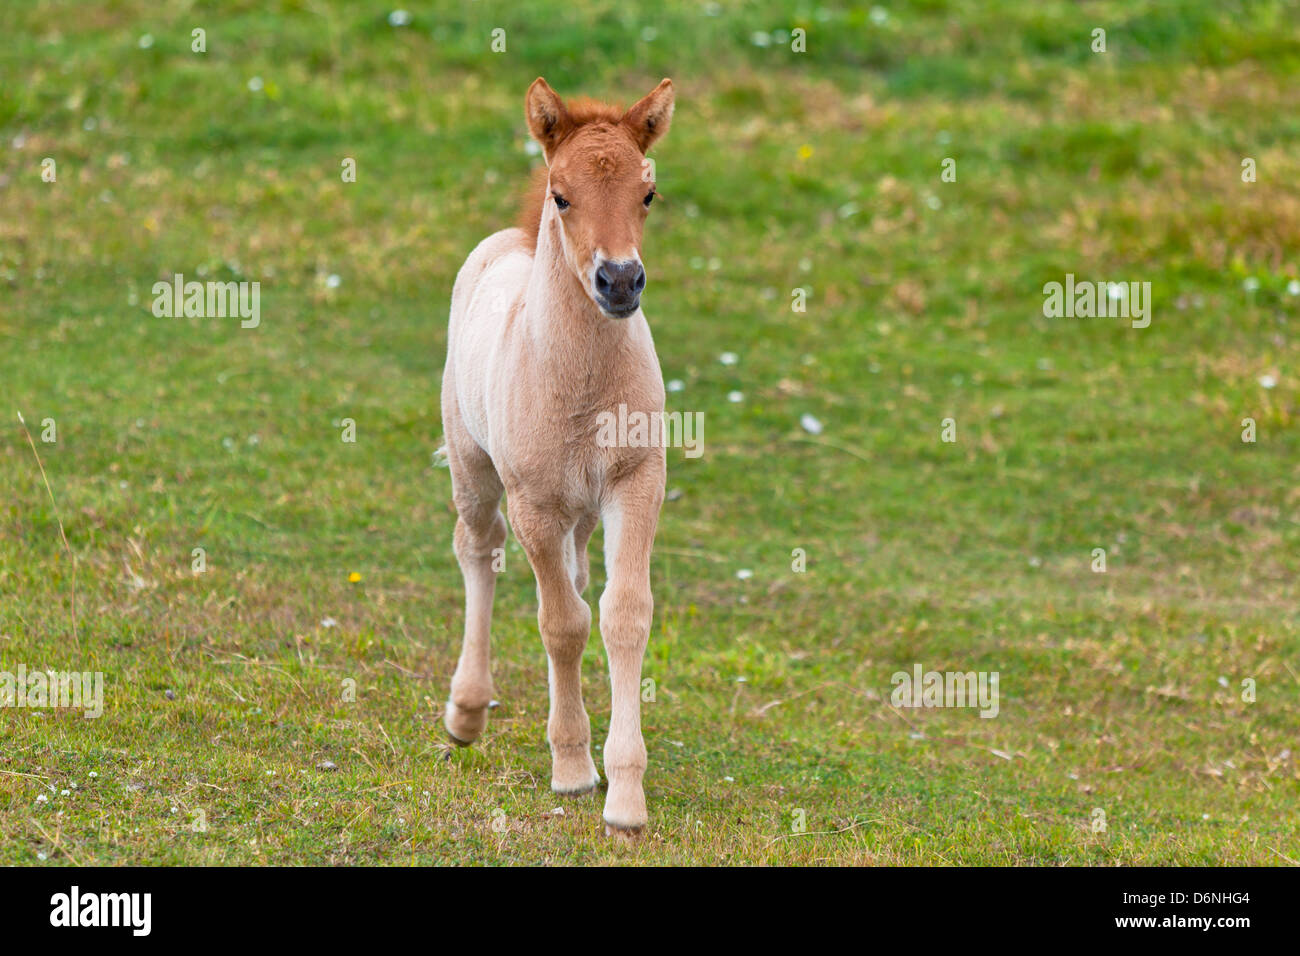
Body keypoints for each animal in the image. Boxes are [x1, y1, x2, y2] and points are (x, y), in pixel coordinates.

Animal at [440, 77, 675, 837]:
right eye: (561, 194)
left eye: (647, 194)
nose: (620, 282)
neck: (582, 387)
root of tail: (508, 243)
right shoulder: (534, 504)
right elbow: (562, 624)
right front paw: (573, 768)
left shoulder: (636, 482)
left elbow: (621, 614)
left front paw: (625, 796)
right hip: (474, 469)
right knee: (478, 549)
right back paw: (466, 711)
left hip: (583, 511)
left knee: (573, 576)